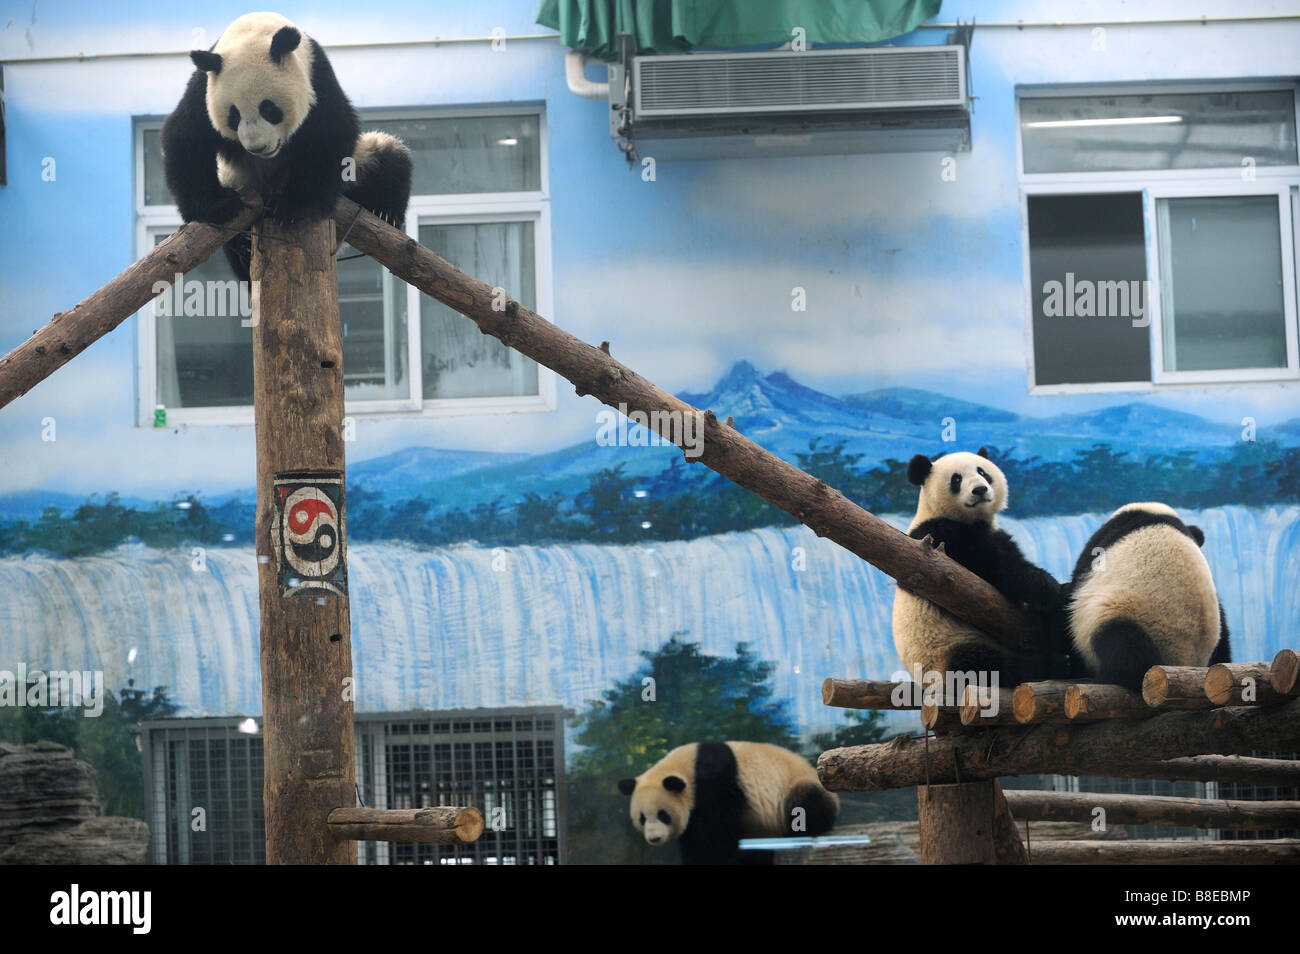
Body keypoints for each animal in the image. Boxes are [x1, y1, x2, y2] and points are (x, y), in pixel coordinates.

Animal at [162, 12, 412, 280]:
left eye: (269, 109)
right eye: (234, 115)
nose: (258, 147)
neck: (255, 29)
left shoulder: (316, 79)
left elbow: (328, 138)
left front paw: (293, 208)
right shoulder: (203, 89)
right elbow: (186, 137)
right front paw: (219, 207)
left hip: (358, 169)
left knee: (388, 157)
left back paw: (385, 211)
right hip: (239, 179)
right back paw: (245, 247)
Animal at [617, 741, 838, 865]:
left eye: (663, 815)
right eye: (642, 818)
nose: (654, 838)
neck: (686, 767)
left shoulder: (715, 785)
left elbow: (717, 834)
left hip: (795, 787)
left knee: (806, 807)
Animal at [892, 447, 1067, 686]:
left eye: (982, 472)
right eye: (956, 479)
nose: (980, 489)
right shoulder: (937, 538)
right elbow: (994, 566)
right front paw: (1047, 586)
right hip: (945, 648)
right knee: (986, 666)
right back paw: (1055, 664)